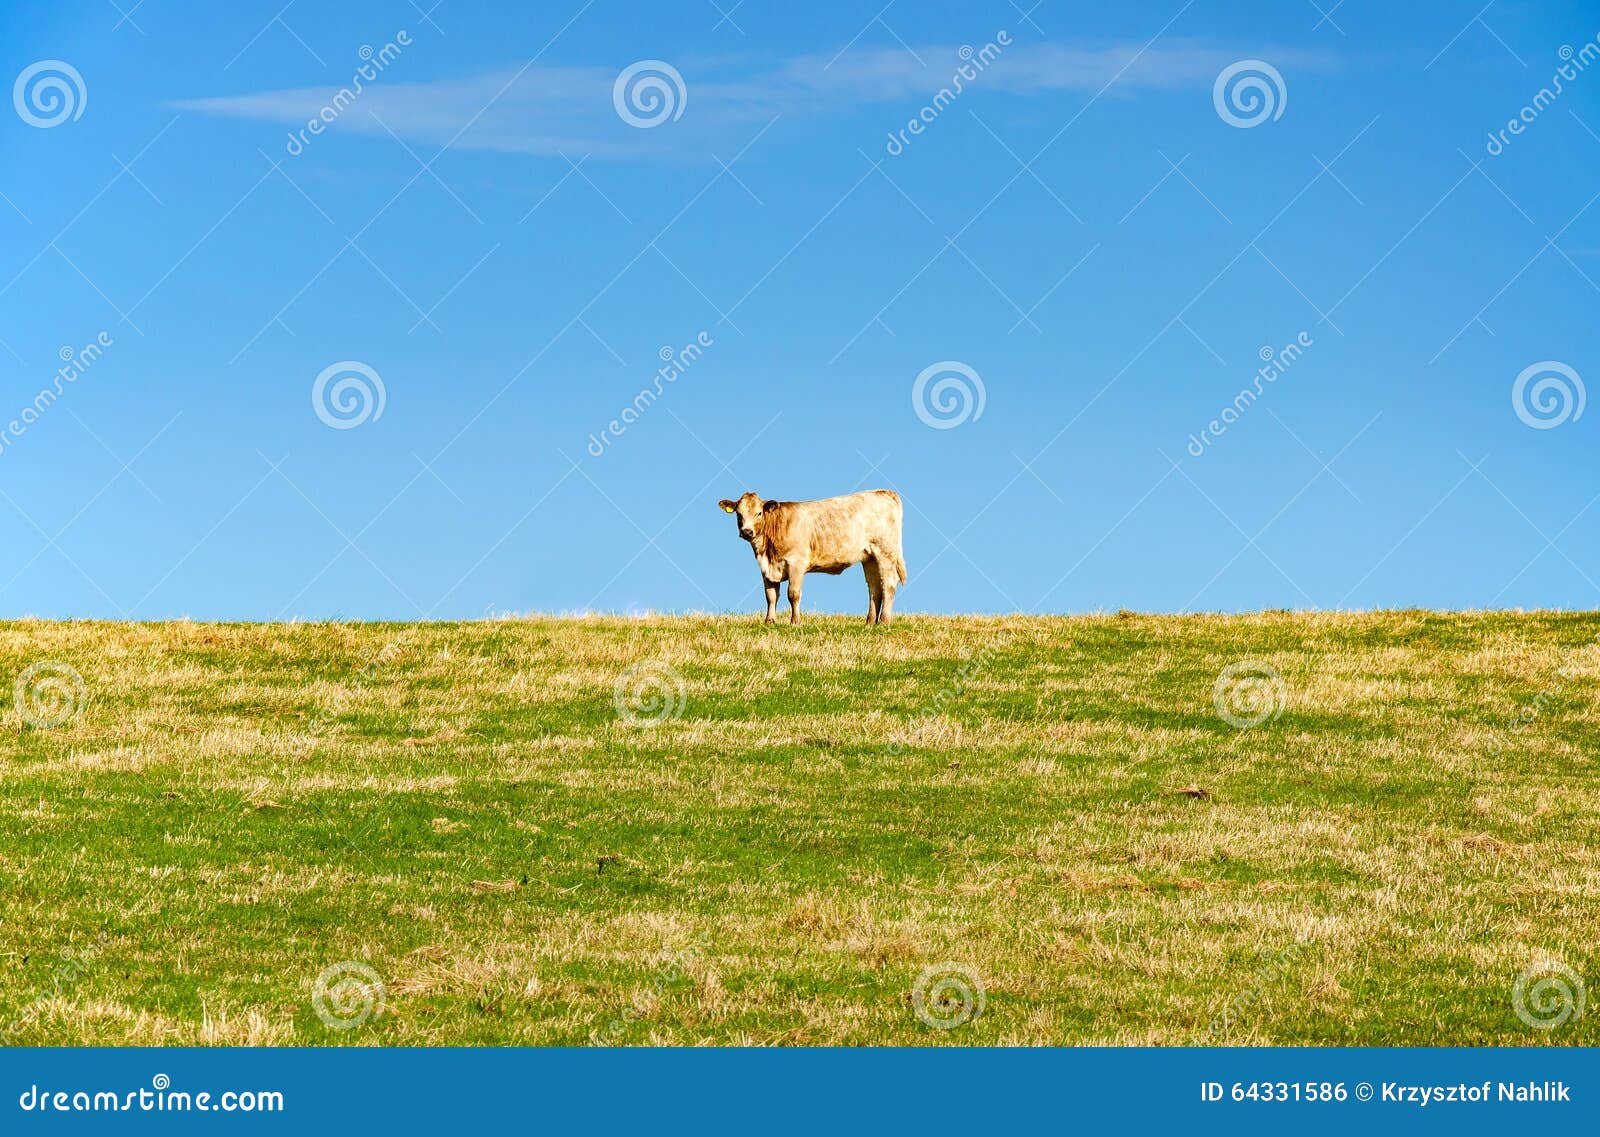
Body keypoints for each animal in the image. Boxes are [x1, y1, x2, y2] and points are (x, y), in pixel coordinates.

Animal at [716, 490, 907, 626]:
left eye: (759, 513)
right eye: (738, 514)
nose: (747, 532)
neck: (767, 551)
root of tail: (883, 492)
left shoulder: (796, 563)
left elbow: (793, 594)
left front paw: (795, 622)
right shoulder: (767, 569)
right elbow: (770, 595)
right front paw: (769, 621)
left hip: (886, 552)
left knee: (889, 584)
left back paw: (884, 622)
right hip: (869, 557)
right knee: (874, 588)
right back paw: (869, 623)